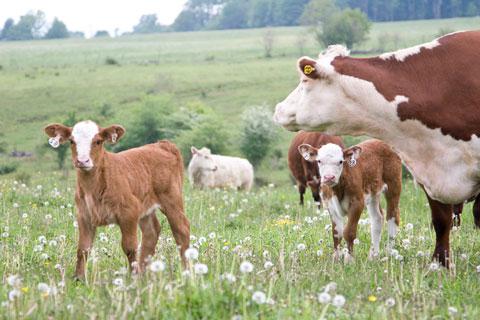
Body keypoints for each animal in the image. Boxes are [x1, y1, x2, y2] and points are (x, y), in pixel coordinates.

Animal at [43, 121, 189, 278]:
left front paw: (133, 277)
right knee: (151, 232)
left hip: (172, 199)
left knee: (182, 230)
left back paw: (186, 270)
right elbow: (83, 249)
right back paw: (144, 273)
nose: (82, 161)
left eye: (98, 141)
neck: (93, 187)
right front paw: (79, 278)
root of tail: (162, 144)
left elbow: (129, 247)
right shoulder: (84, 215)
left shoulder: (129, 212)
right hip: (145, 205)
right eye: (71, 141)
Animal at [274, 31, 480, 268]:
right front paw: (439, 265)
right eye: (319, 161)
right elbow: (441, 221)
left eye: (305, 80)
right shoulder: (429, 172)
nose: (278, 109)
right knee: (378, 218)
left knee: (391, 217)